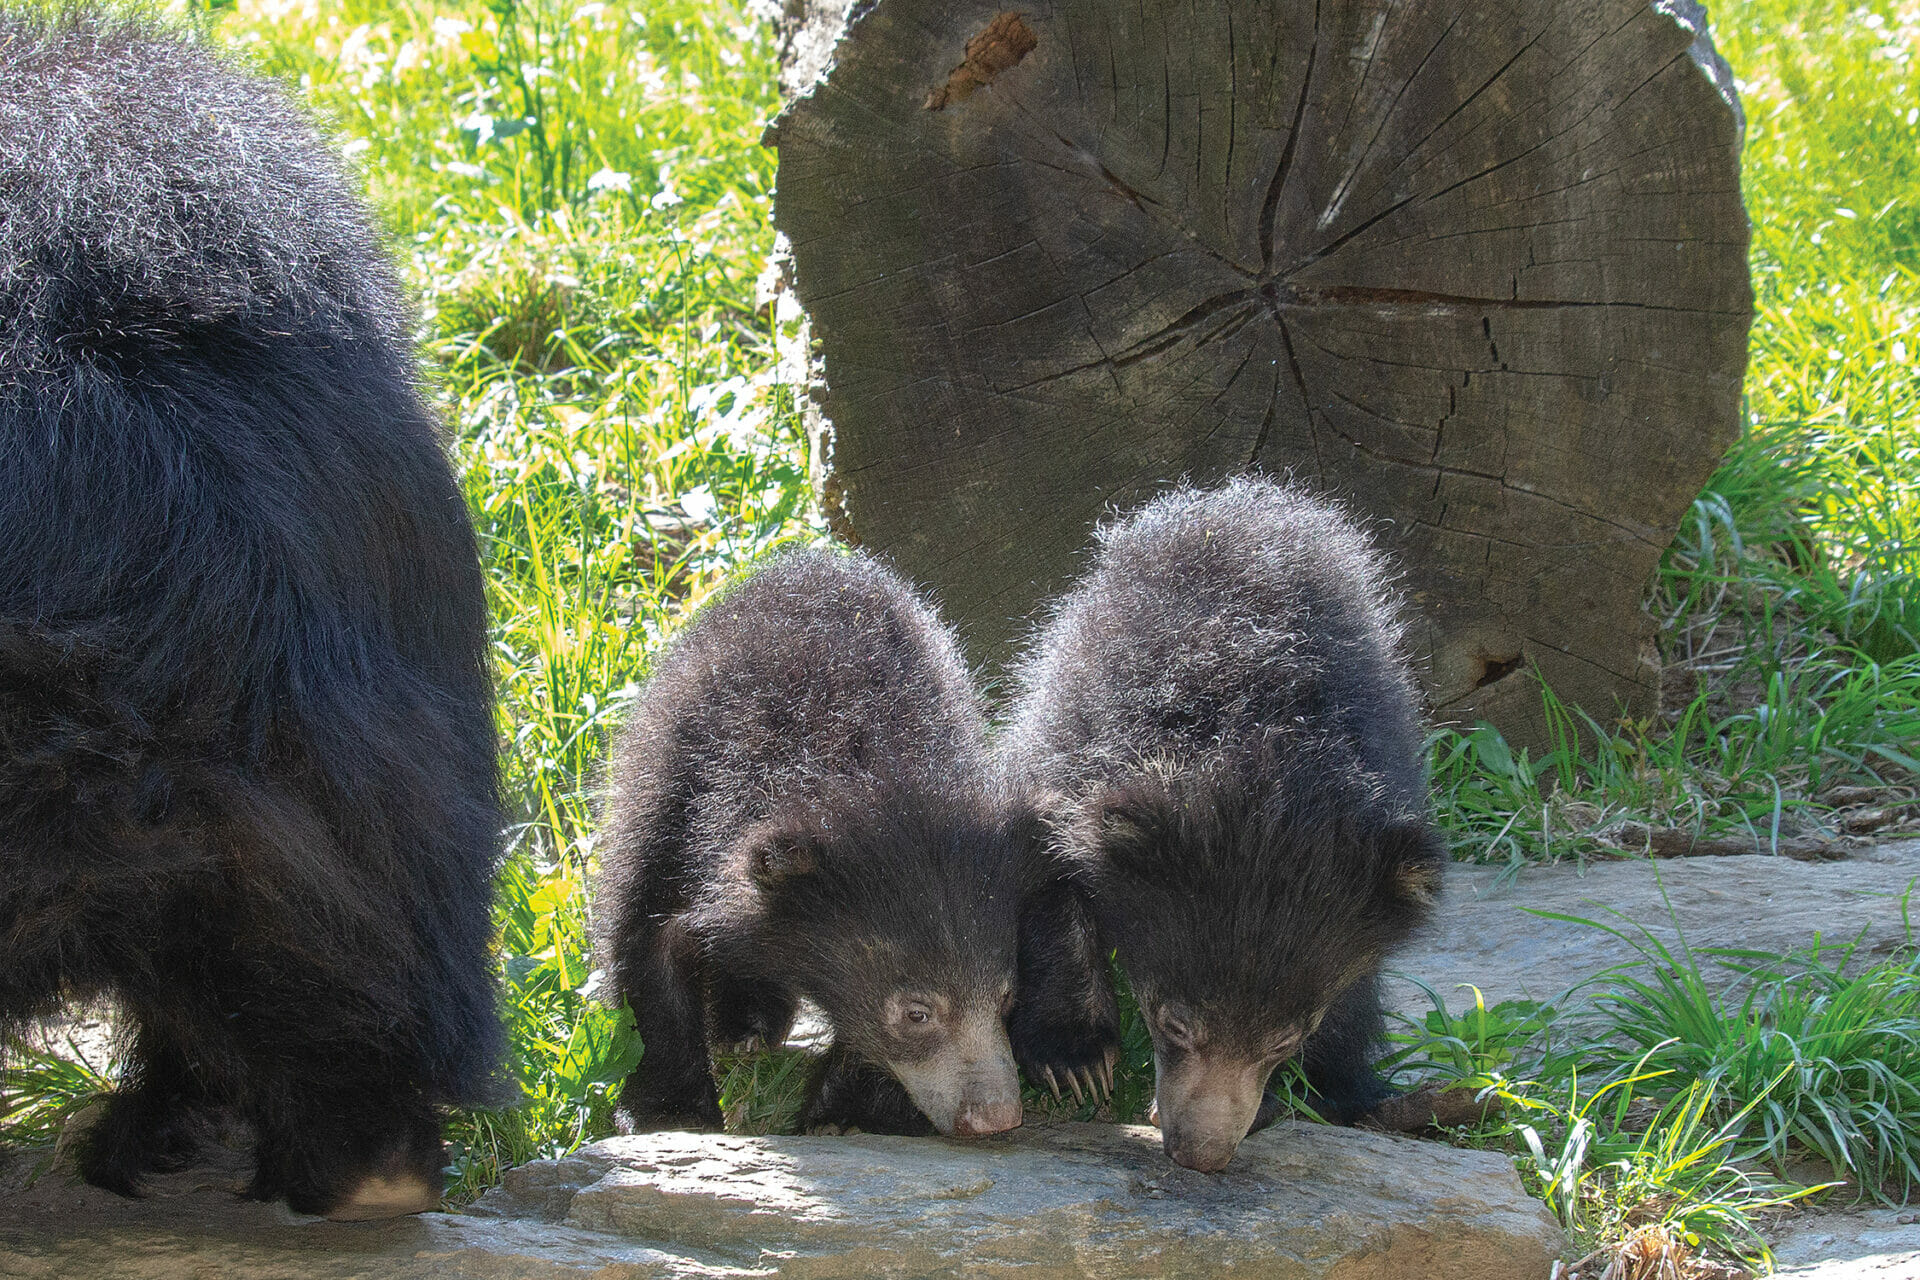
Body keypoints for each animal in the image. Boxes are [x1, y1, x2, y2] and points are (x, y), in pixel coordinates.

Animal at [1006, 477, 1443, 1174]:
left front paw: (1297, 1097)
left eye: (1284, 1039)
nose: (1201, 1153)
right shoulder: (1071, 726)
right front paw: (1075, 1061)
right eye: (1173, 1022)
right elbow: (1046, 869)